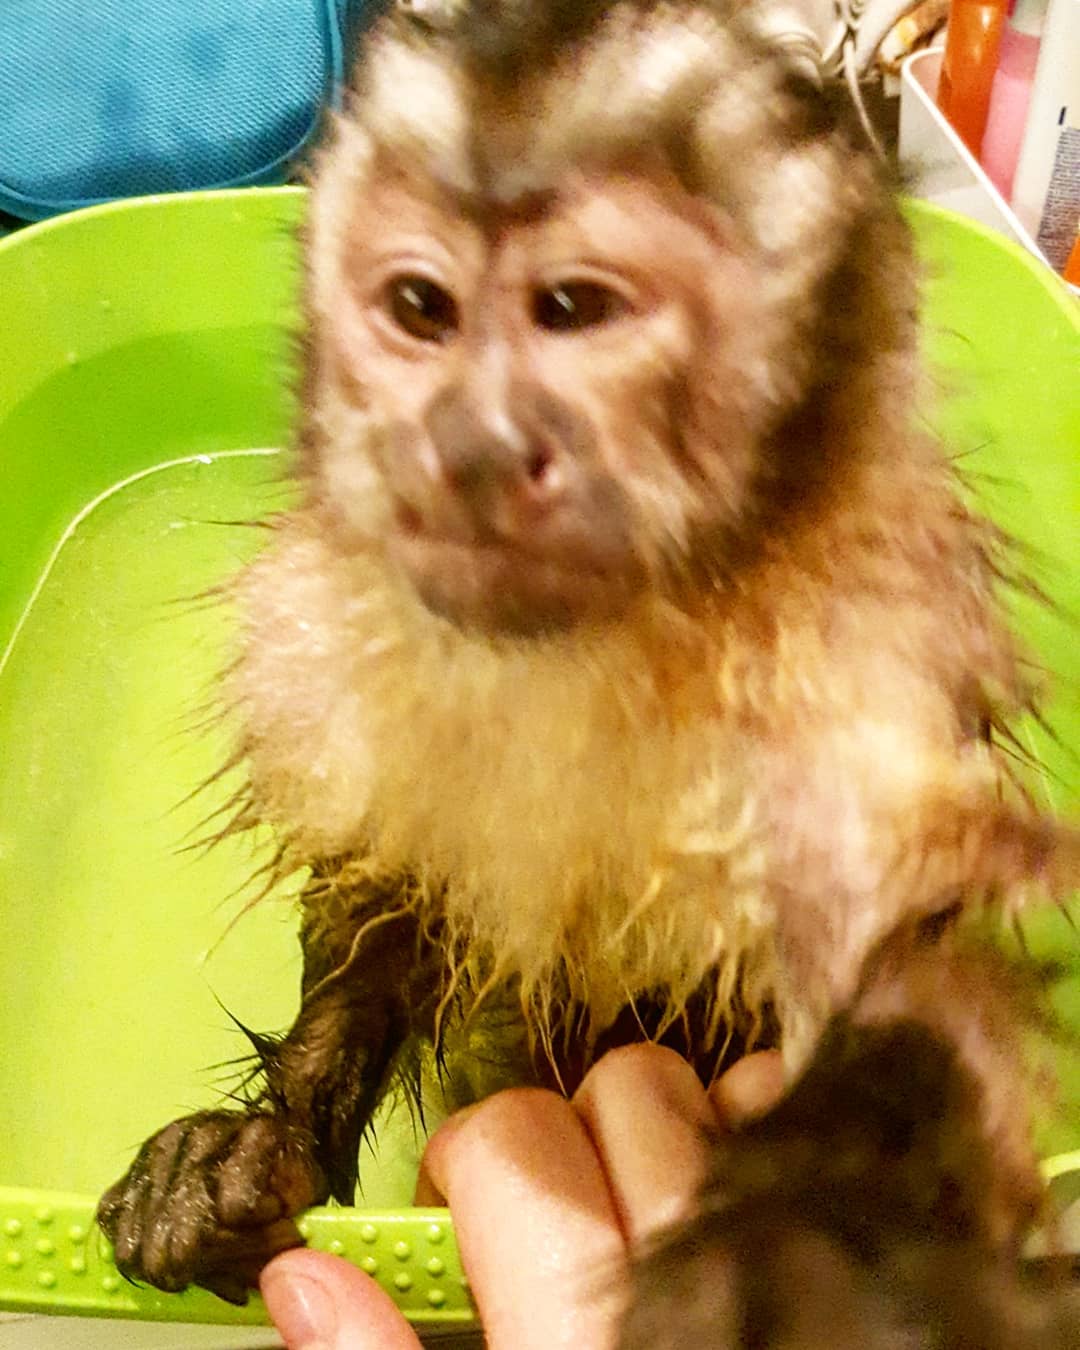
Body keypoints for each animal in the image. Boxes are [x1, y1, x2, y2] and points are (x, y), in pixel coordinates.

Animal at [96, 0, 1080, 1336]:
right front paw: (262, 1147)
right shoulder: (330, 647)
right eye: (421, 307)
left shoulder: (863, 658)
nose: (468, 446)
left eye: (572, 310)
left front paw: (810, 1250)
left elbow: (907, 974)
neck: (604, 650)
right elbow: (389, 902)